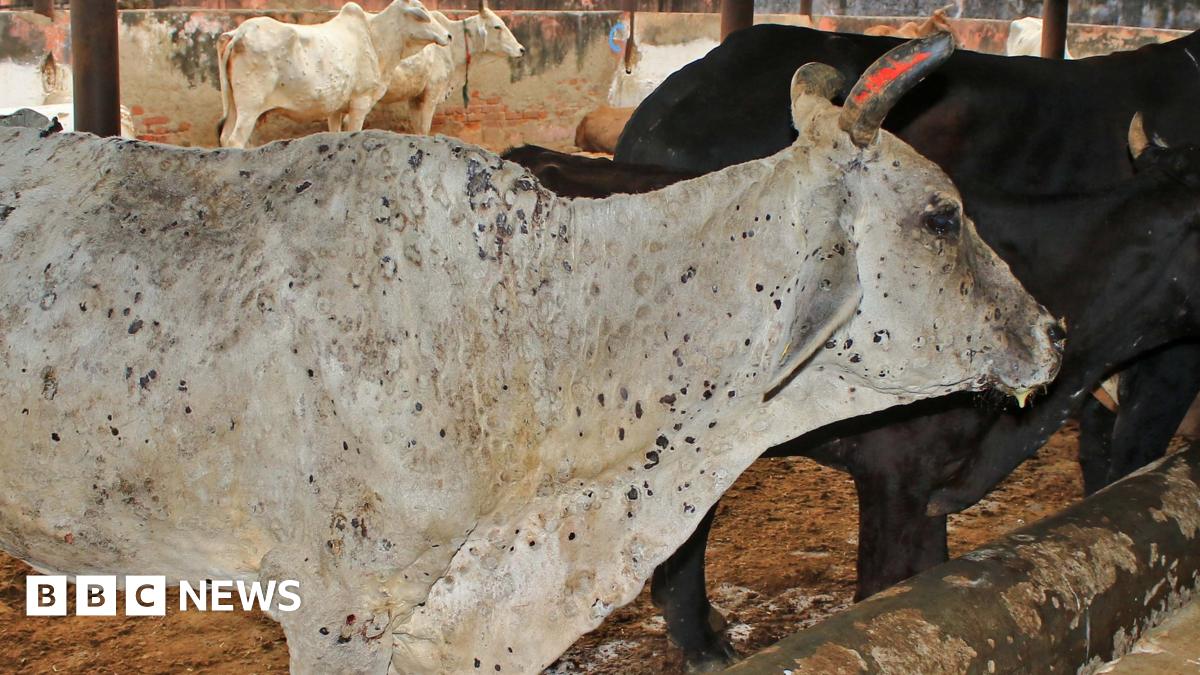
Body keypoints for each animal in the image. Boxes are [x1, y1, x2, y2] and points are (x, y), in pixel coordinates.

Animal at [215, 0, 452, 149]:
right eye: (422, 10)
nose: (448, 35)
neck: (375, 37)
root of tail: (237, 34)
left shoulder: (336, 108)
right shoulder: (360, 101)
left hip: (234, 105)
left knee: (225, 138)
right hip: (250, 105)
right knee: (236, 140)